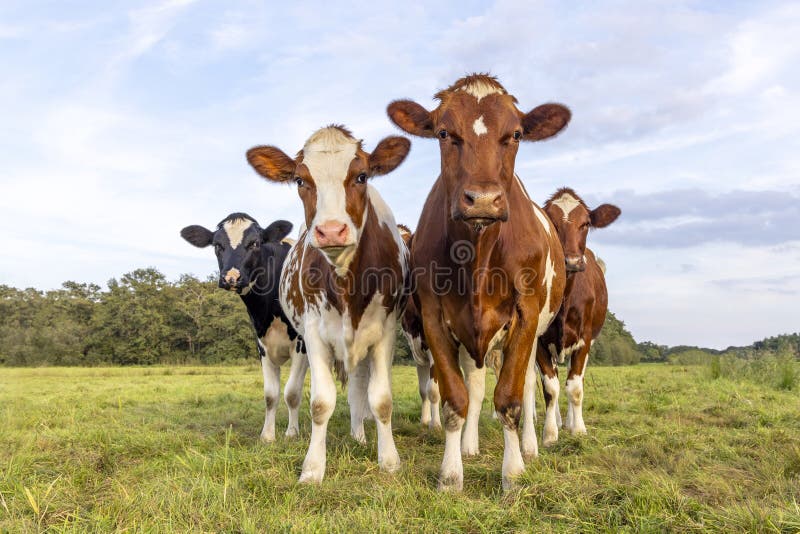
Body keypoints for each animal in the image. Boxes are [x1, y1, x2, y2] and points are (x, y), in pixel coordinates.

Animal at [180, 214, 308, 443]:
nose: (231, 277)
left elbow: (292, 393)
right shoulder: (262, 345)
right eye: (217, 245)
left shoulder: (301, 345)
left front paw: (292, 433)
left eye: (255, 243)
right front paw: (267, 436)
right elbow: (270, 395)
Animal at [246, 125, 411, 484]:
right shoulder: (313, 334)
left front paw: (389, 461)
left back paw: (359, 435)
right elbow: (320, 404)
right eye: (300, 180)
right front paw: (312, 468)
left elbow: (381, 400)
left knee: (359, 391)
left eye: (362, 176)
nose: (332, 231)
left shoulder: (386, 332)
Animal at [387, 74, 570, 490]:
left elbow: (510, 400)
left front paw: (513, 472)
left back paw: (530, 446)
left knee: (529, 389)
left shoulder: (525, 315)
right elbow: (456, 398)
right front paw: (451, 474)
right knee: (475, 382)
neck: (479, 256)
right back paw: (469, 445)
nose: (483, 200)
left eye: (516, 134)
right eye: (443, 132)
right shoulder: (435, 317)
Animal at [536, 188, 620, 439]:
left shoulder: (584, 340)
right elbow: (550, 388)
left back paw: (571, 421)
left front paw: (578, 430)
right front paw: (550, 433)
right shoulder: (538, 340)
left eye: (586, 223)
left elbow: (574, 387)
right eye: (552, 223)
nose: (571, 261)